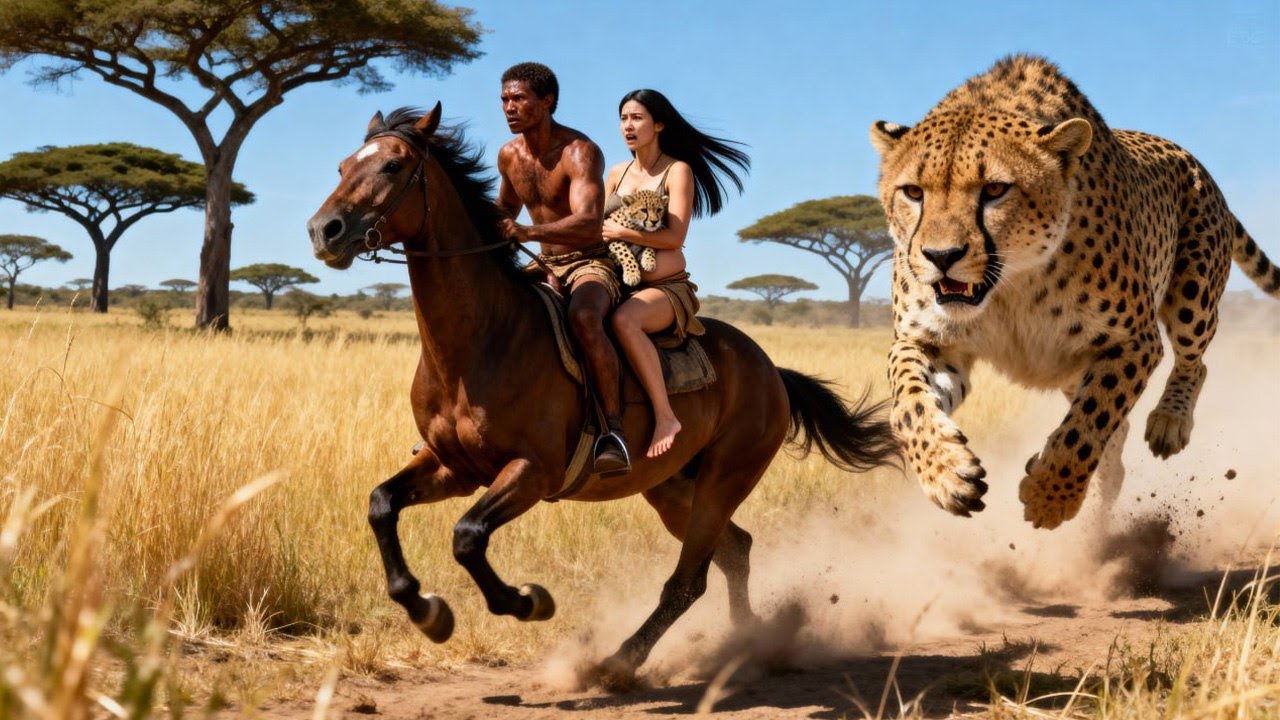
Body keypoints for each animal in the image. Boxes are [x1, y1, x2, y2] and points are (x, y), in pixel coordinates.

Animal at [868, 54, 1280, 529]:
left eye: (995, 189)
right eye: (913, 192)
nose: (941, 255)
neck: (1010, 285)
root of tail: (1191, 159)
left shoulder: (1134, 343)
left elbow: (1091, 420)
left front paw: (1051, 496)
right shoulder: (929, 342)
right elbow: (908, 402)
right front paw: (944, 472)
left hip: (1192, 299)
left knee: (1195, 363)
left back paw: (1168, 422)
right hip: (1071, 372)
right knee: (1118, 443)